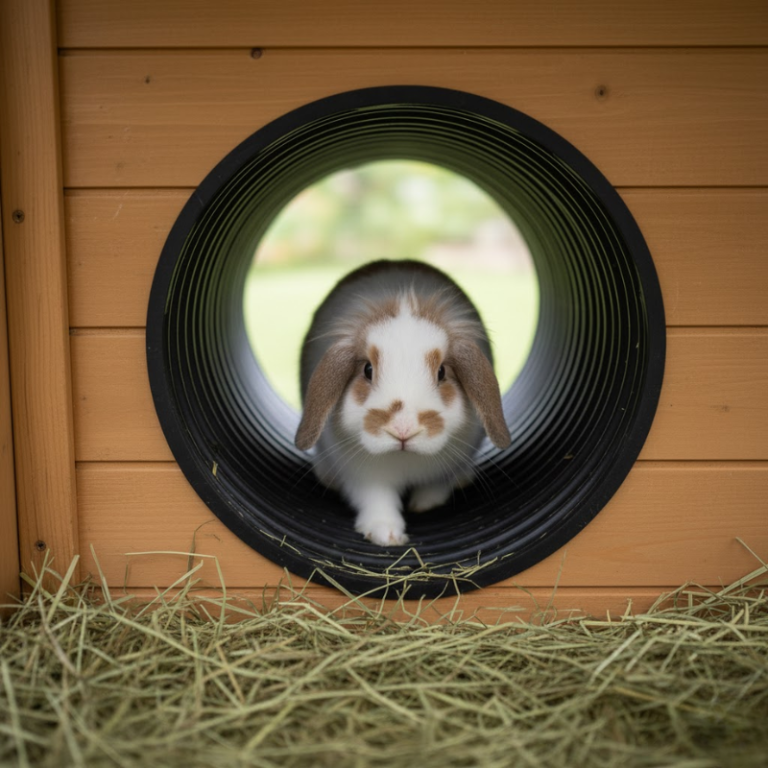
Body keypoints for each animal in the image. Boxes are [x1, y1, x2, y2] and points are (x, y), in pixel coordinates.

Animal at [295, 259, 511, 547]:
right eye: (367, 370)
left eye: (442, 372)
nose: (403, 429)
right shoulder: (363, 475)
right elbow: (377, 500)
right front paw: (386, 535)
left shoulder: (450, 462)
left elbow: (436, 485)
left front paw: (424, 504)